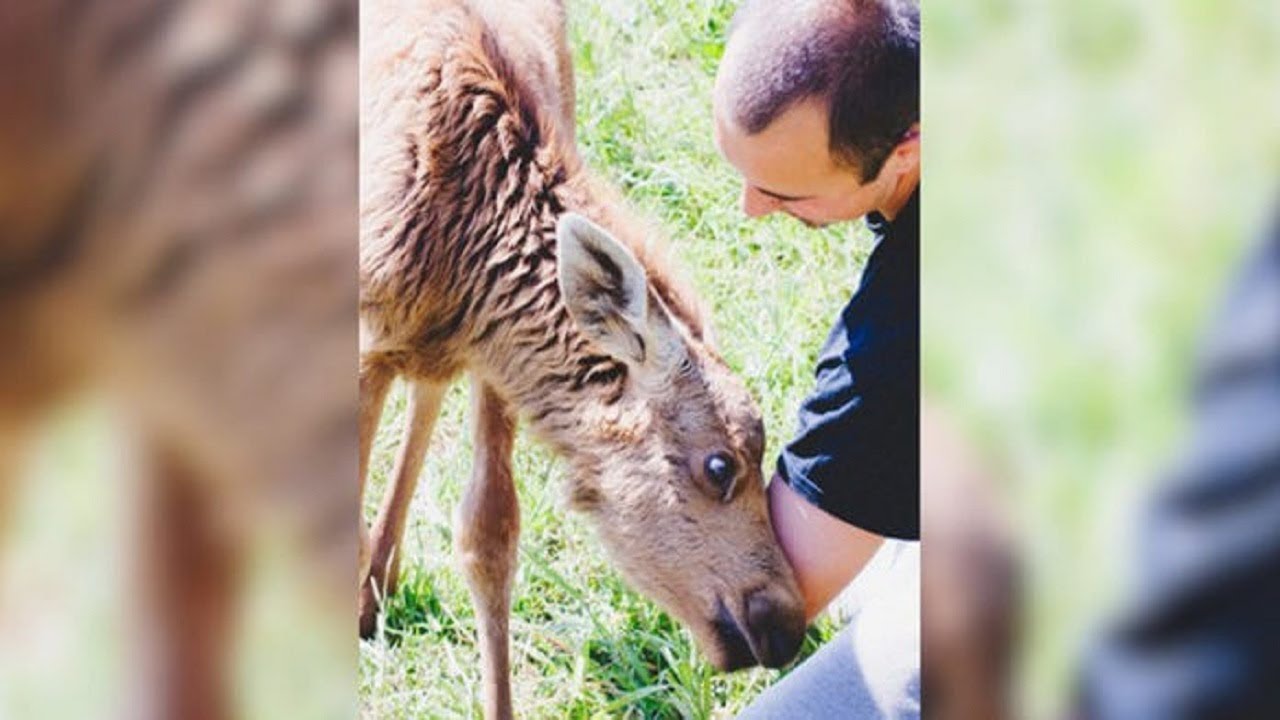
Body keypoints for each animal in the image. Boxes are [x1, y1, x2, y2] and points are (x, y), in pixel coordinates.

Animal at [359, 1, 807, 717]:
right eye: (719, 466)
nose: (788, 623)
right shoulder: (367, 337)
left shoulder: (496, 361)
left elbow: (489, 537)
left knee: (427, 391)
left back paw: (376, 584)